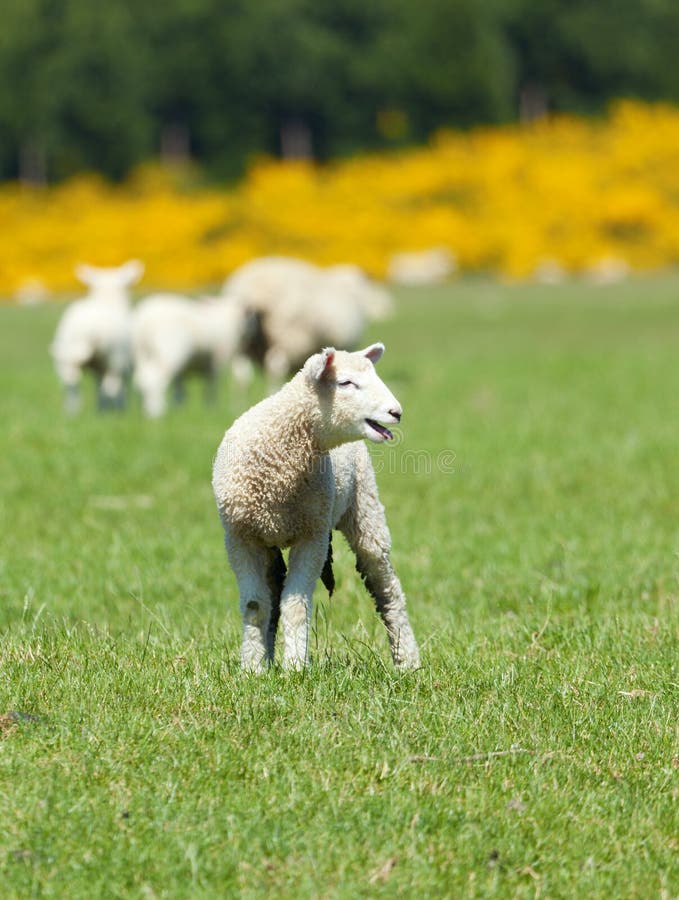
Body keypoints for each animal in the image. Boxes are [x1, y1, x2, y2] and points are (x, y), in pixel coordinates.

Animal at [50, 260, 143, 412]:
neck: (107, 299)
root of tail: (87, 328)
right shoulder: (123, 363)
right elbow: (117, 388)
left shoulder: (98, 367)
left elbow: (98, 386)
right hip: (115, 359)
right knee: (112, 387)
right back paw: (113, 410)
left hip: (66, 356)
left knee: (71, 383)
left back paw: (72, 412)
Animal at [212, 342, 420, 672]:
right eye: (345, 383)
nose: (396, 412)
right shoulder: (240, 537)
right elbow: (255, 604)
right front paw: (253, 668)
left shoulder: (313, 536)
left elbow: (296, 605)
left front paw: (296, 666)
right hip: (269, 535)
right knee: (273, 587)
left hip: (366, 510)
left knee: (388, 589)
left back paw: (407, 660)